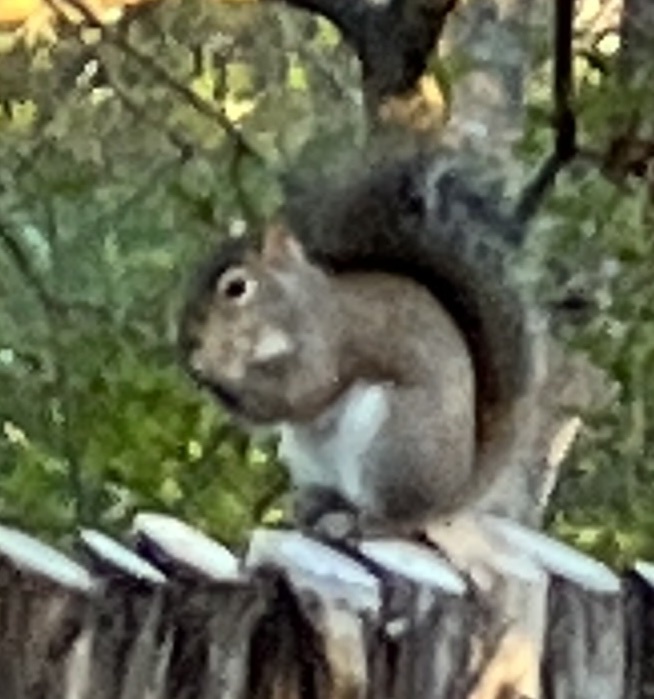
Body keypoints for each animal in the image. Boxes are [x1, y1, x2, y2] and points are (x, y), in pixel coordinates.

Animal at [177, 153, 544, 536]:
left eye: (236, 288)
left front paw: (213, 372)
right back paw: (313, 507)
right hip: (306, 458)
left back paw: (367, 521)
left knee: (395, 516)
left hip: (391, 443)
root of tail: (449, 498)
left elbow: (297, 395)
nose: (189, 343)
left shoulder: (328, 345)